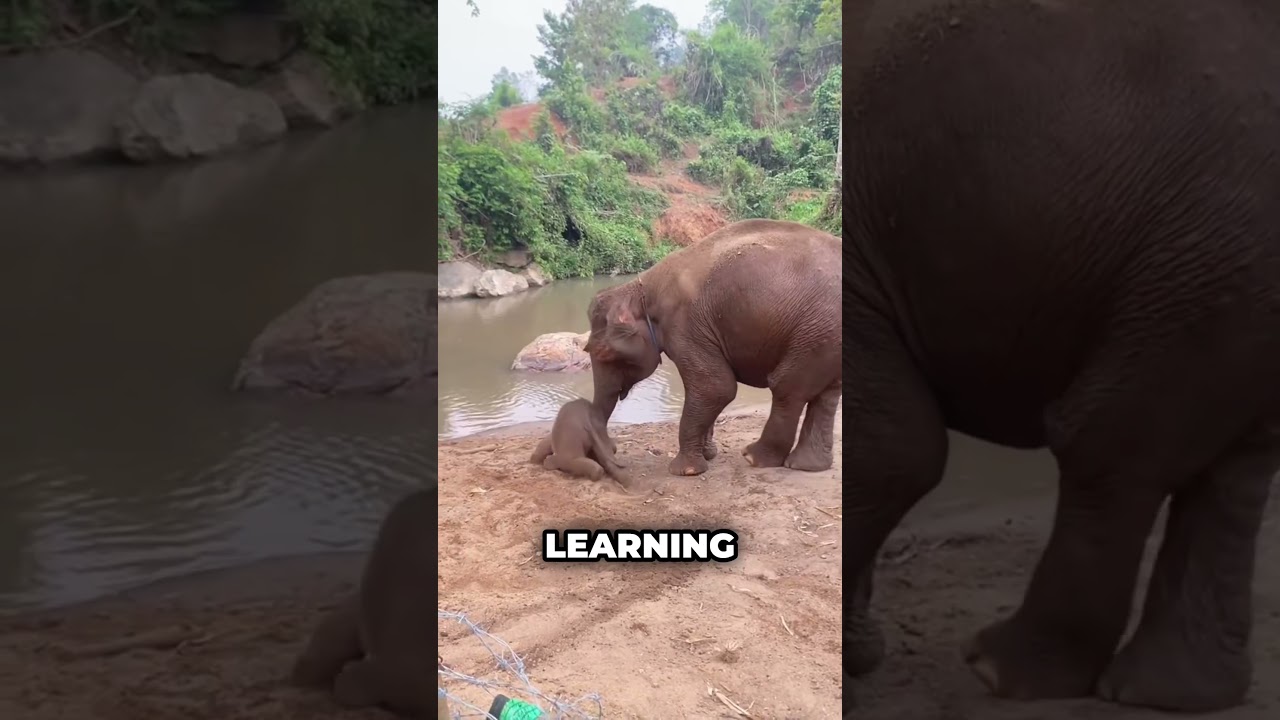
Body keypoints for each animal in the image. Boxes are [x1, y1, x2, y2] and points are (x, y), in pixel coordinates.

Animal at [585, 219, 841, 477]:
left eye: (601, 352)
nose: (611, 451)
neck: (640, 287)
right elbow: (714, 391)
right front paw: (709, 454)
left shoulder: (684, 325)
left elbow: (715, 388)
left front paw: (685, 471)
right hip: (825, 338)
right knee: (826, 395)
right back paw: (807, 466)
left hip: (815, 331)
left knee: (786, 388)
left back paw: (753, 457)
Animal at [845, 0, 1280, 714]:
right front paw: (858, 658)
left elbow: (892, 448)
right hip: (1227, 263)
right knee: (1232, 465)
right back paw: (1171, 694)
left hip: (1208, 244)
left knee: (1111, 444)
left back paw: (1000, 670)